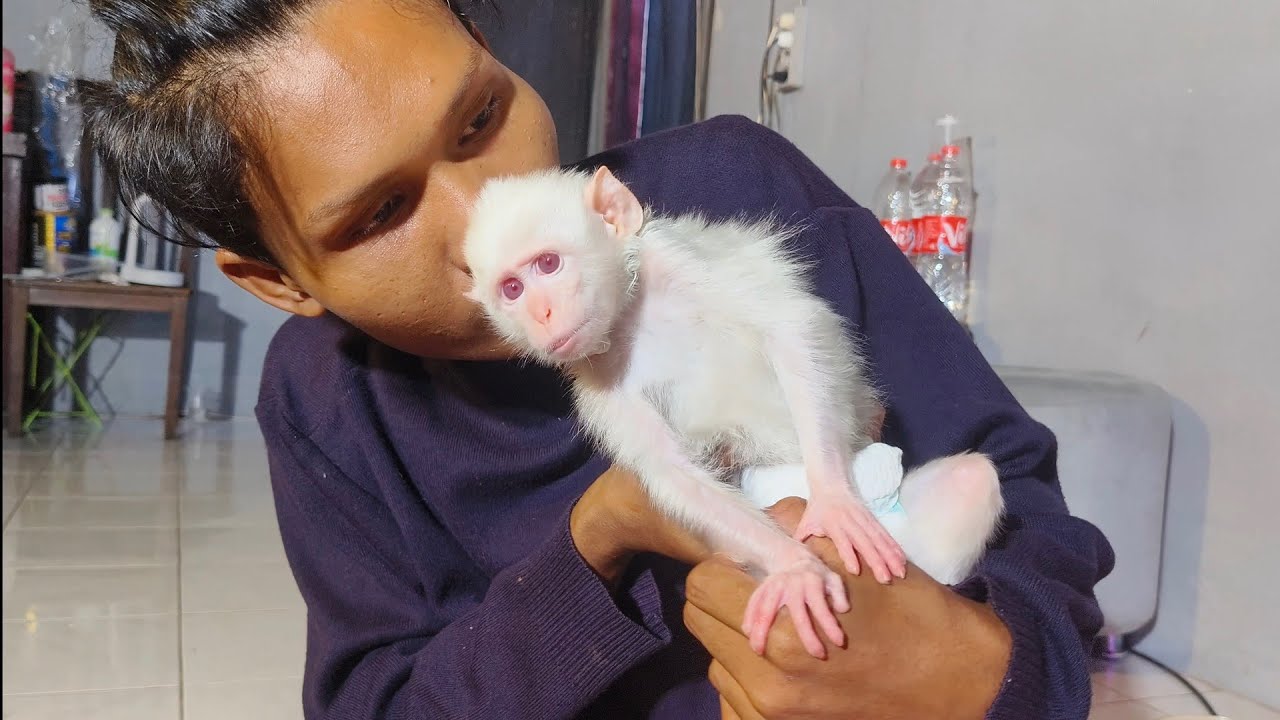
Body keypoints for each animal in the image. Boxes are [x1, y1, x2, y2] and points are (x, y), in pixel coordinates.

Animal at [462, 166, 1003, 659]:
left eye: (548, 264)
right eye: (512, 290)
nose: (542, 316)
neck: (632, 317)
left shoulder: (681, 261)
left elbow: (791, 328)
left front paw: (833, 499)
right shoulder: (595, 379)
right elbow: (673, 474)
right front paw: (794, 566)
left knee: (971, 481)